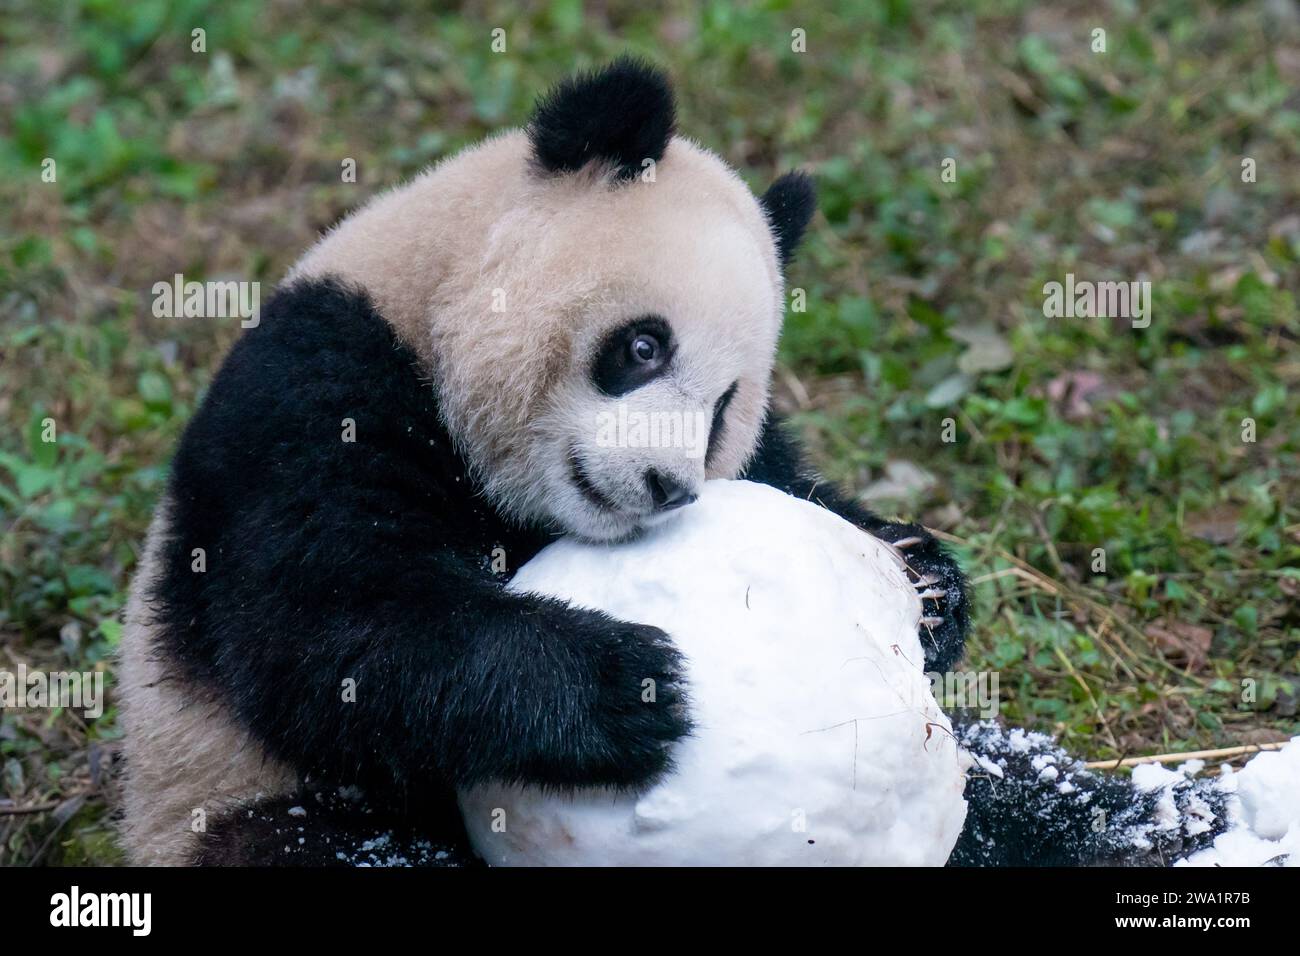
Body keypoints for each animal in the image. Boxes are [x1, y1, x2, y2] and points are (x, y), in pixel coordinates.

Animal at [118, 58, 1223, 867]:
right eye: (641, 346)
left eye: (725, 404)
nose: (665, 486)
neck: (428, 298)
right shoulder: (320, 388)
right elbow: (323, 630)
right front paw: (631, 687)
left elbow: (797, 482)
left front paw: (930, 586)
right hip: (234, 796)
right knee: (333, 849)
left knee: (1013, 791)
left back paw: (1157, 823)